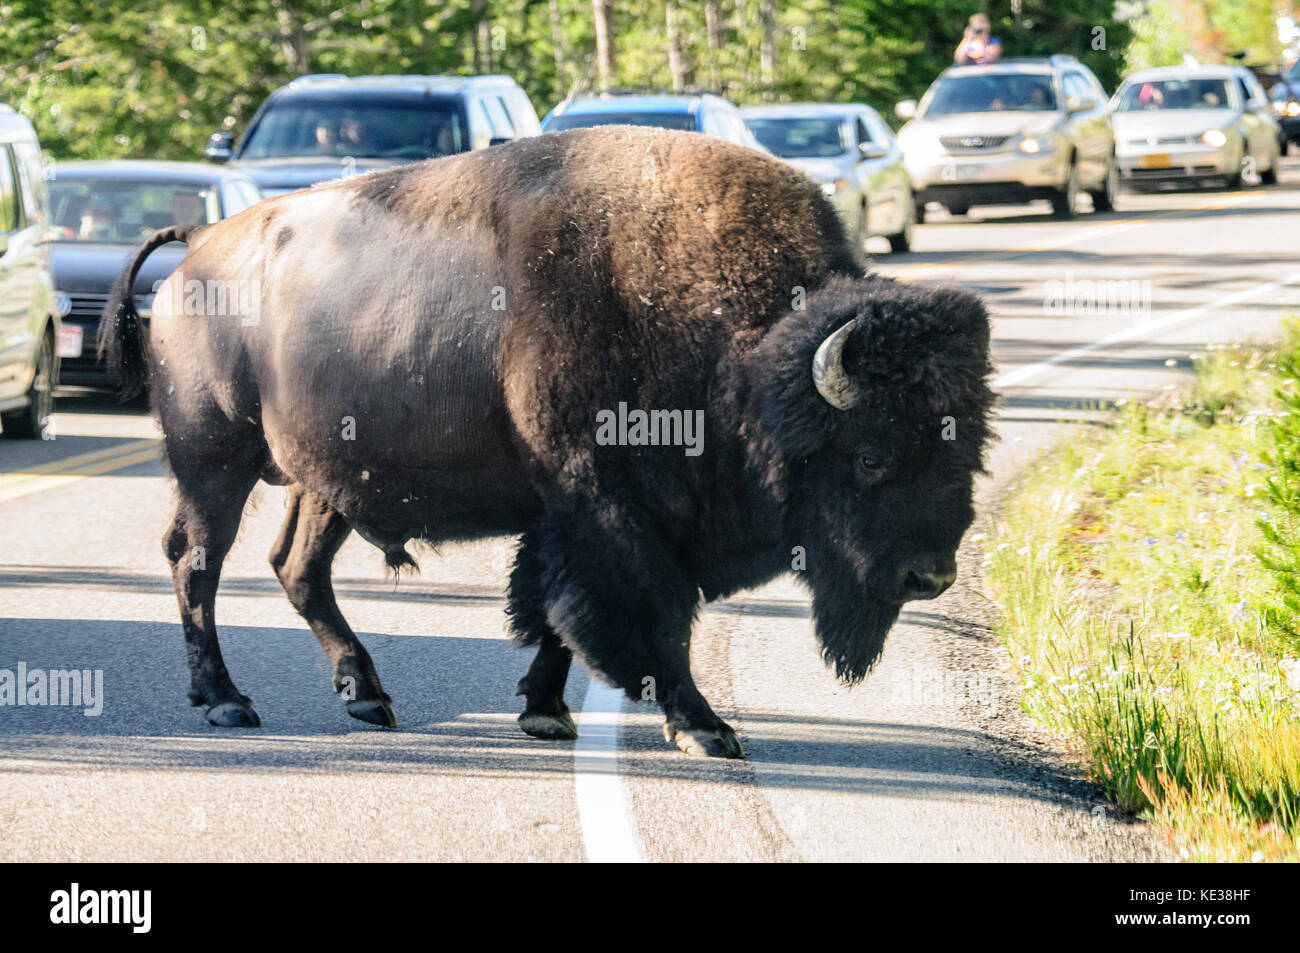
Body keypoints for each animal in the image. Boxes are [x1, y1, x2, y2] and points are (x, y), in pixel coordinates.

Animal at [99, 126, 995, 758]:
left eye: (966, 451)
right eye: (872, 455)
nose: (931, 575)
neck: (740, 347)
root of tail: (196, 249)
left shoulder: (565, 515)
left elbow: (552, 614)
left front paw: (544, 711)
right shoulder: (612, 514)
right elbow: (644, 616)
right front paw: (705, 727)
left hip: (323, 481)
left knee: (296, 566)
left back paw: (366, 693)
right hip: (214, 460)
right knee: (196, 560)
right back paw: (227, 700)